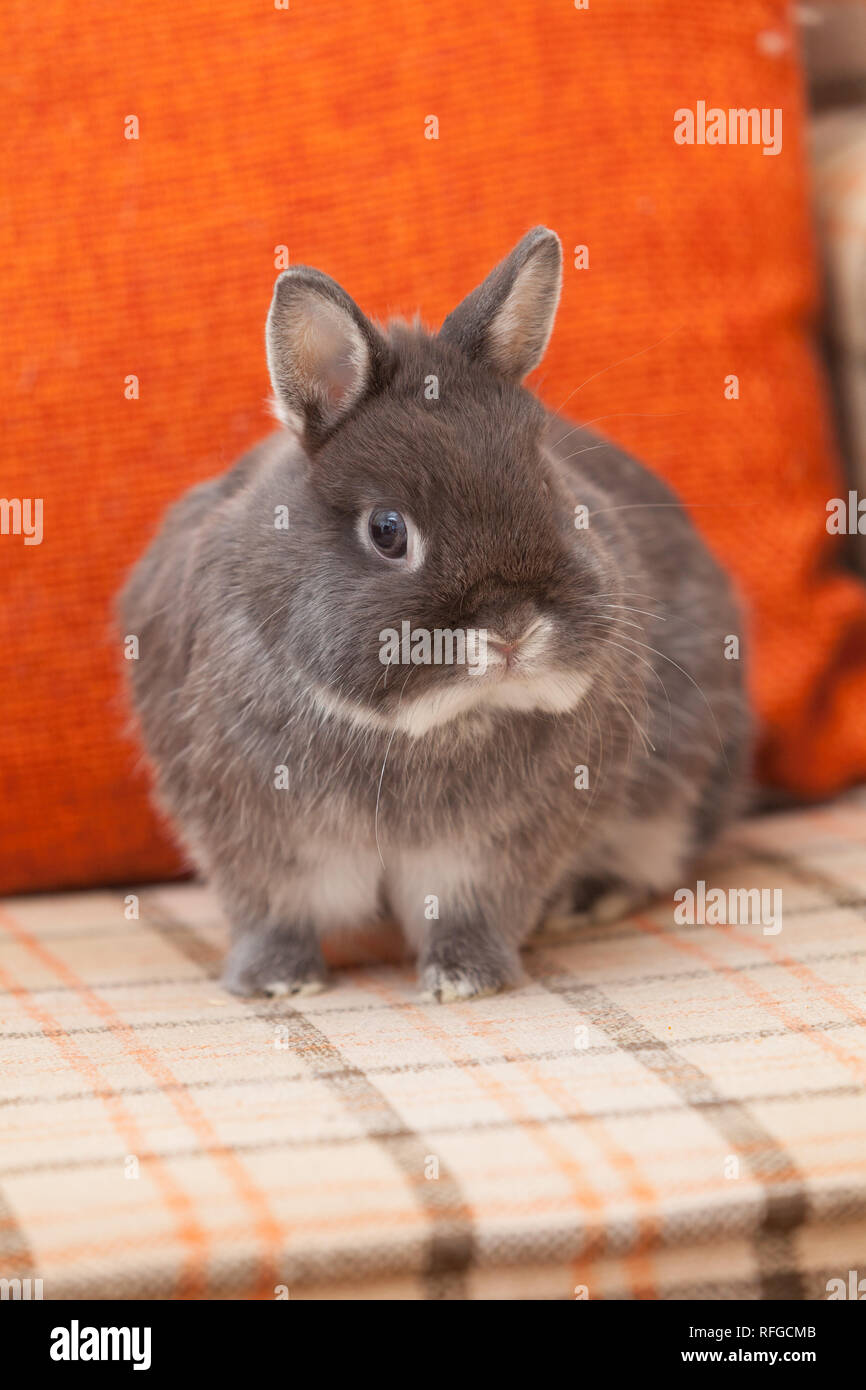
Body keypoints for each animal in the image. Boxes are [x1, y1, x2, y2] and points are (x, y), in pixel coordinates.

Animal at [119, 226, 751, 1003]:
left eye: (549, 485)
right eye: (387, 530)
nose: (511, 631)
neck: (428, 728)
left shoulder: (490, 854)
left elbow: (469, 912)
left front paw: (464, 981)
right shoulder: (257, 840)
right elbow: (273, 914)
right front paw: (276, 983)